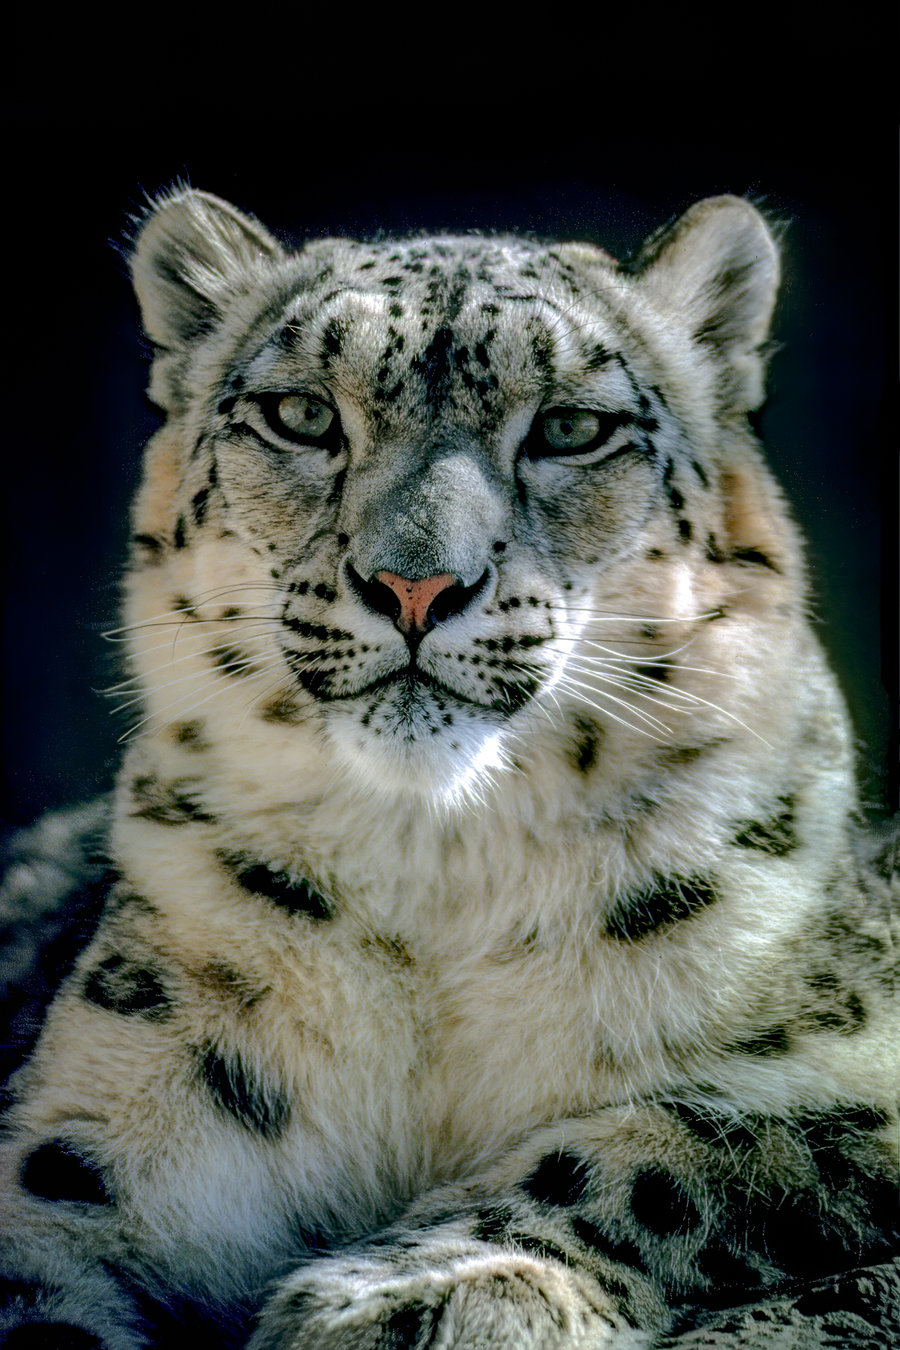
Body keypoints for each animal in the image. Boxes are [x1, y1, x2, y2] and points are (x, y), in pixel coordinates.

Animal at [0, 188, 897, 1349]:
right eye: (302, 415)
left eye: (570, 428)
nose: (414, 585)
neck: (441, 874)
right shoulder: (89, 1140)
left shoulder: (854, 1078)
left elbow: (686, 1151)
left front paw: (422, 1290)